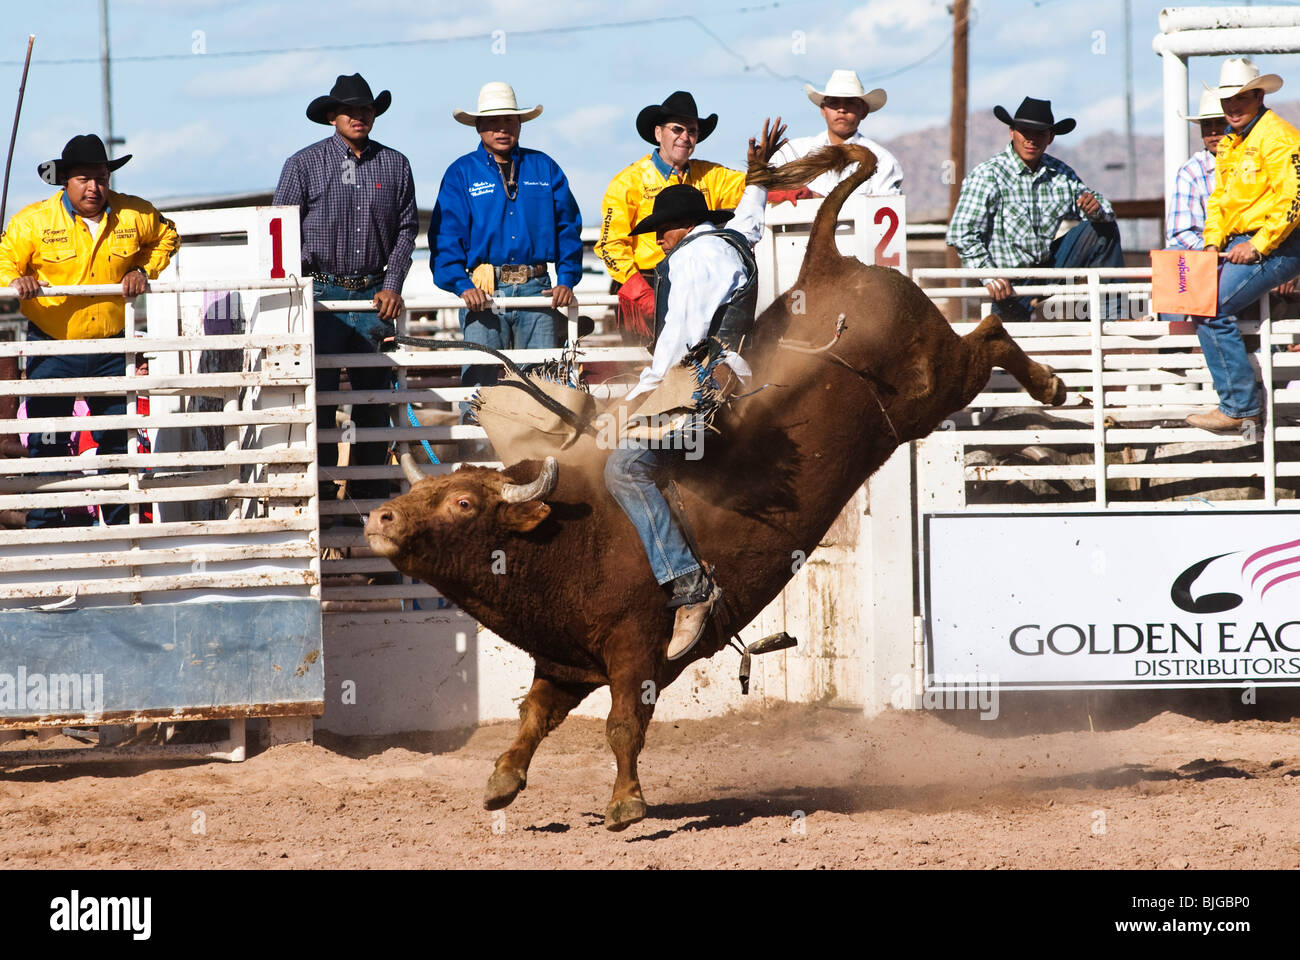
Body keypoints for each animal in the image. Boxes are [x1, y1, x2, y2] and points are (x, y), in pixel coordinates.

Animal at [364, 144, 1066, 831]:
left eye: (462, 503)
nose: (380, 520)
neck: (570, 534)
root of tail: (828, 266)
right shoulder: (563, 661)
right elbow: (533, 717)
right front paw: (502, 781)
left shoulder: (635, 650)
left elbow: (624, 723)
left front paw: (626, 803)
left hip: (934, 387)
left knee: (990, 338)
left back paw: (1052, 384)